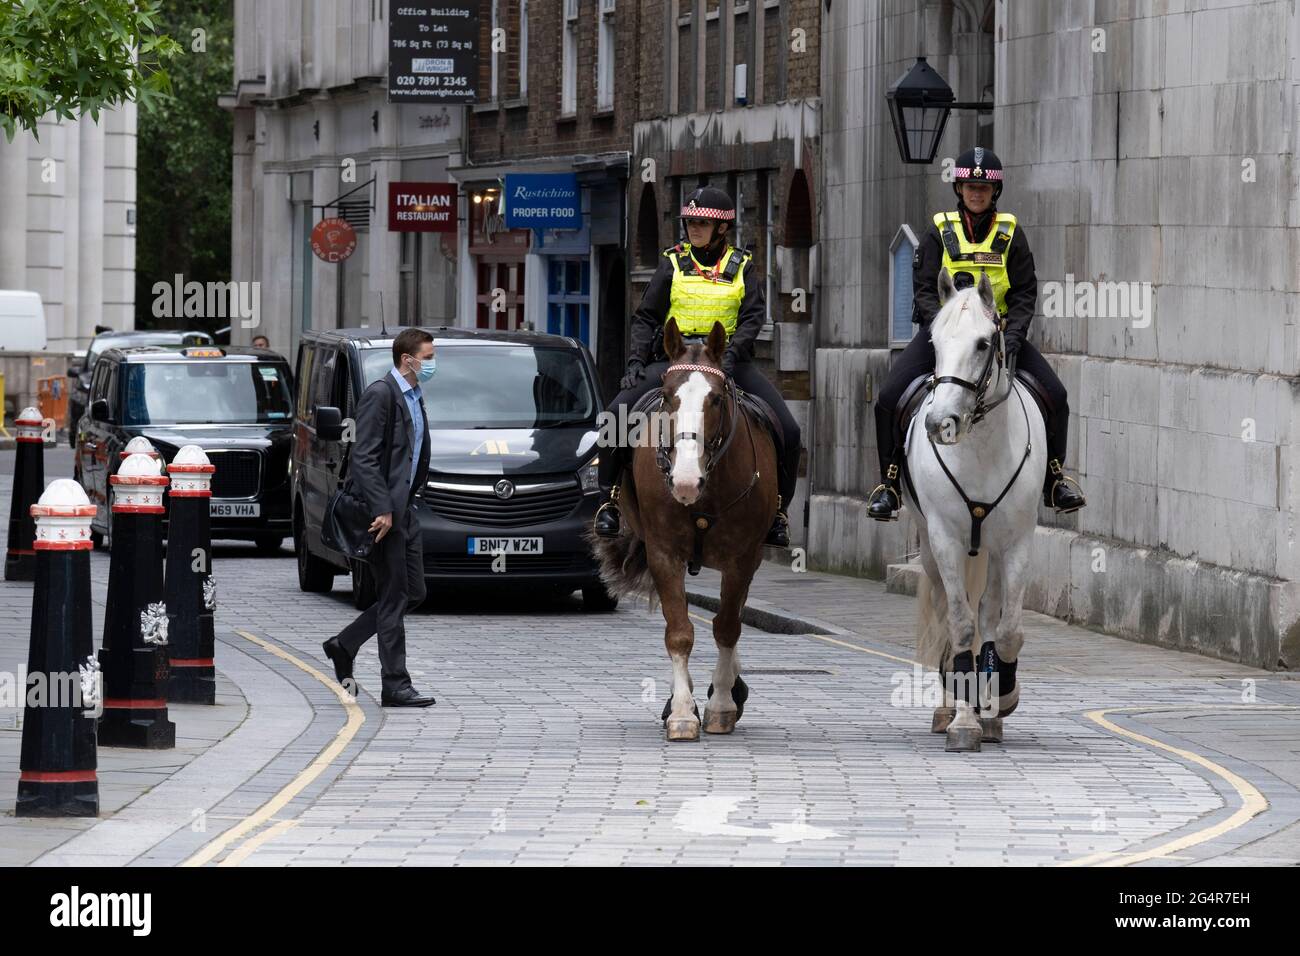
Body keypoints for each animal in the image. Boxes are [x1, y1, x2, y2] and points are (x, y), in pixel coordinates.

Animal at [588, 318, 779, 741]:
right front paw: (681, 712)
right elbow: (679, 631)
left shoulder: (743, 558)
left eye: (717, 399)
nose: (685, 481)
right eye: (666, 395)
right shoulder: (663, 553)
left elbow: (727, 627)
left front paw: (722, 704)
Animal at [904, 270, 1047, 752]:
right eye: (933, 340)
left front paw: (1002, 697)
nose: (940, 424)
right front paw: (964, 722)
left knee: (989, 612)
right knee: (948, 612)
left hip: (990, 549)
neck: (981, 447)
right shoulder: (945, 538)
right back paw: (950, 707)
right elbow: (961, 625)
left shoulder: (1017, 544)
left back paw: (989, 709)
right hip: (933, 548)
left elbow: (1008, 631)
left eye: (984, 343)